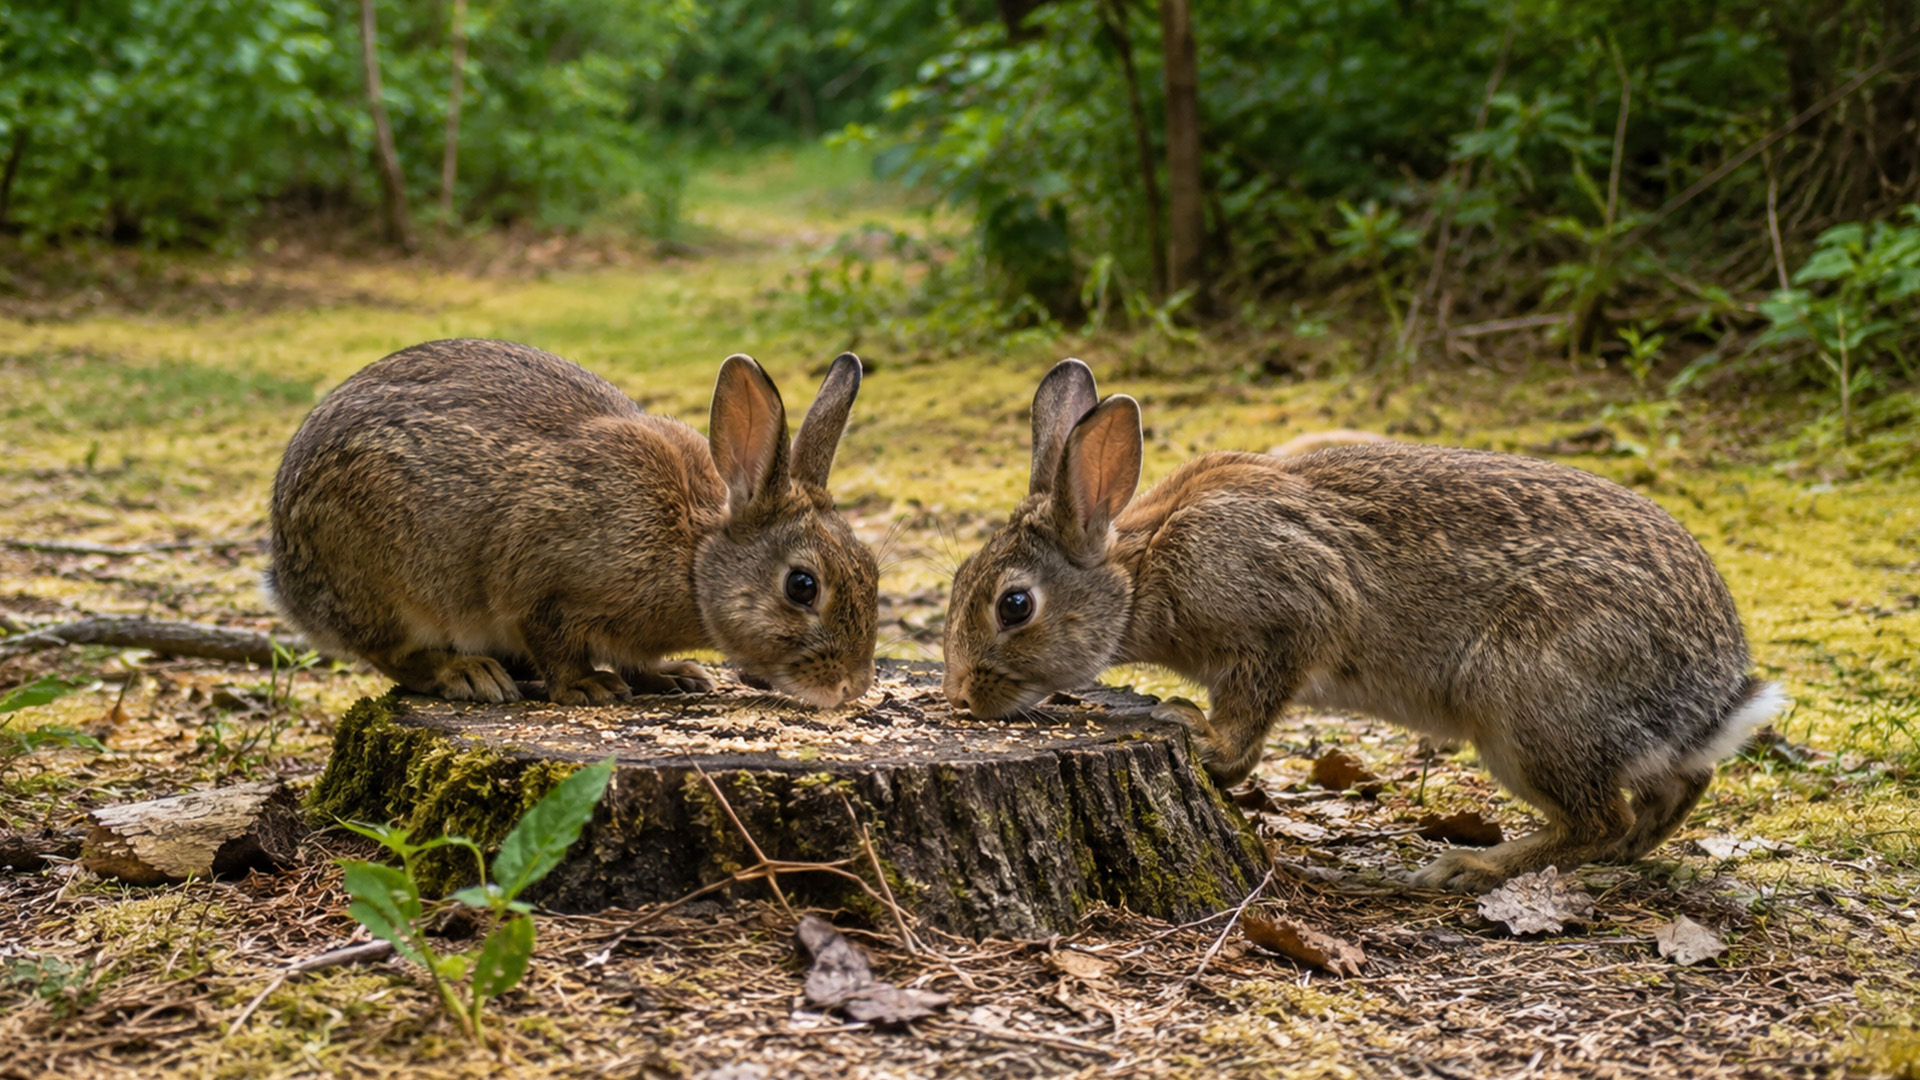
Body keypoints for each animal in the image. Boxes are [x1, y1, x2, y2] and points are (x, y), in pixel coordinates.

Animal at [266, 339, 877, 709]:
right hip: (389, 582)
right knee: (395, 656)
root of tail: (286, 578)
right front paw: (589, 686)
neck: (693, 559)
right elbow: (555, 642)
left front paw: (674, 676)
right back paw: (469, 675)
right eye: (803, 587)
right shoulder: (544, 584)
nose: (852, 686)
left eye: (871, 569)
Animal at [942, 359, 1783, 892]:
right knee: (1672, 791)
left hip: (1529, 707)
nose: (961, 696)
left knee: (1600, 816)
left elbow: (1247, 722)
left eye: (1014, 606)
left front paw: (1189, 730)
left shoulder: (1286, 619)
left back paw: (1468, 869)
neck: (1140, 568)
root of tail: (1715, 697)